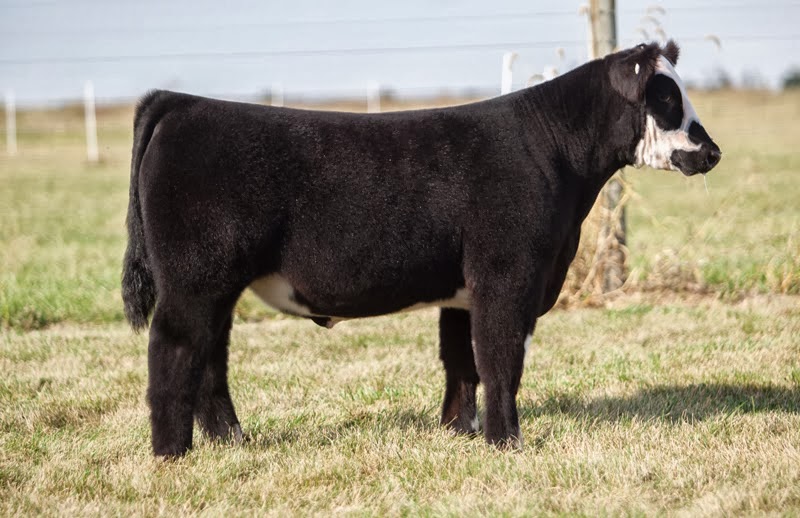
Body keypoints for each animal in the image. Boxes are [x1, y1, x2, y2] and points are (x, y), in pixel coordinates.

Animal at [122, 41, 721, 457]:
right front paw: (507, 442)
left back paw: (231, 440)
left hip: (215, 287)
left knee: (210, 357)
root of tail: (180, 104)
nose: (712, 151)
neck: (552, 153)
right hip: (194, 279)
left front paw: (461, 432)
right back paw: (172, 452)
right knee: (174, 349)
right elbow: (501, 358)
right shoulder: (507, 275)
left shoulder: (465, 290)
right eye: (666, 98)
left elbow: (463, 362)